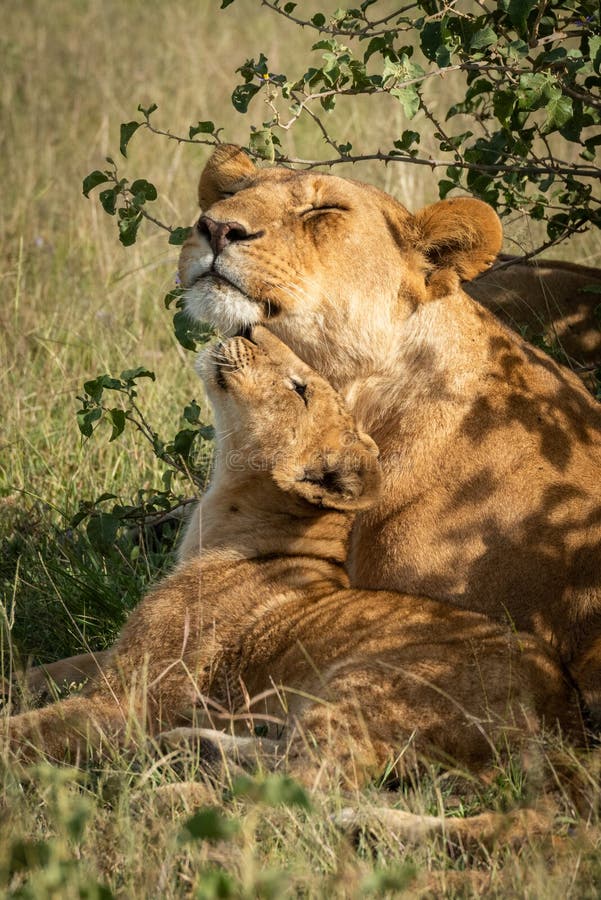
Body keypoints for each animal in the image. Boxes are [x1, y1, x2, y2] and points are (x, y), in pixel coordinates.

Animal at [2, 329, 581, 801]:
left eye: (300, 389)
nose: (246, 326)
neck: (222, 519)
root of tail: (560, 718)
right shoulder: (121, 658)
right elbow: (45, 670)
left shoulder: (130, 699)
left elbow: (30, 730)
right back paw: (189, 747)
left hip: (360, 684)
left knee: (309, 789)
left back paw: (171, 792)